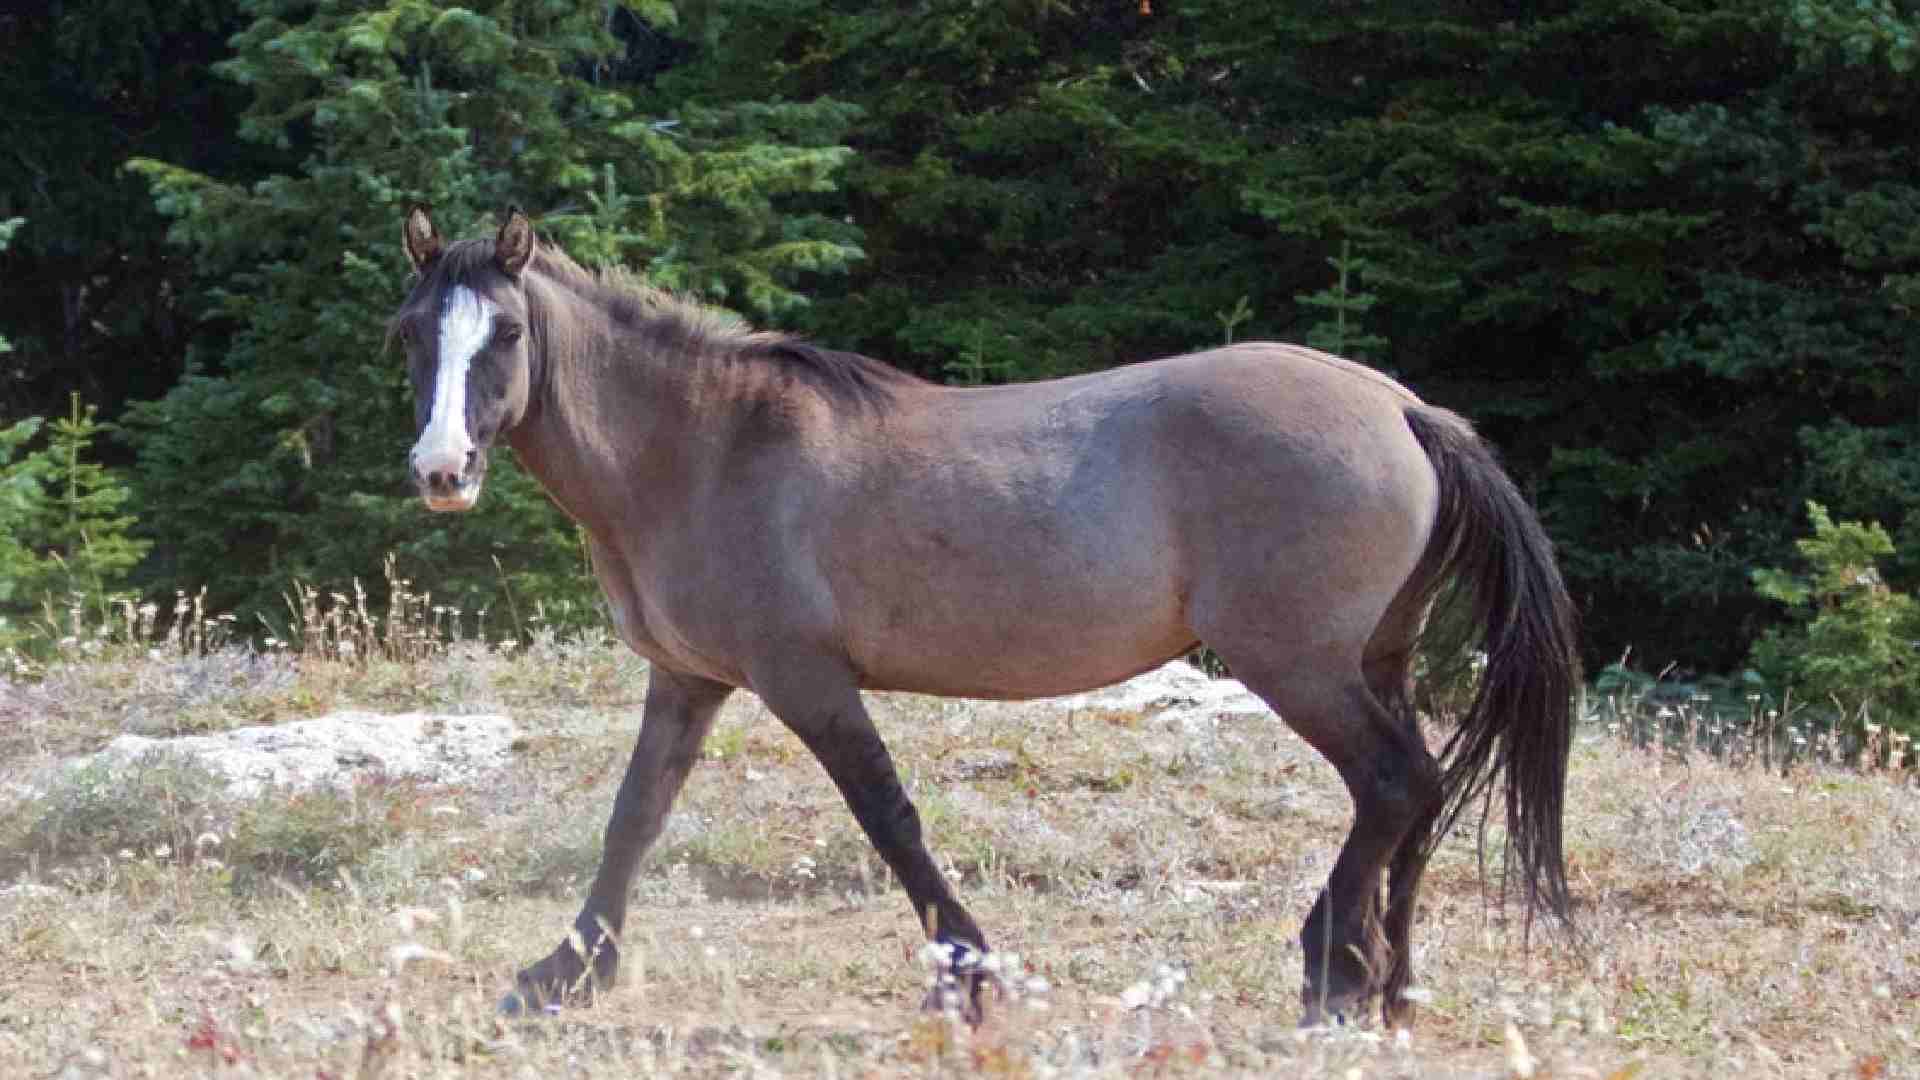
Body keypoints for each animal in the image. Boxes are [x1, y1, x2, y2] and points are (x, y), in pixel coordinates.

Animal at [389, 206, 1578, 1027]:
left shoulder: (803, 678)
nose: (441, 472)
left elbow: (889, 818)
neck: (705, 449)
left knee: (1393, 784)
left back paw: (1332, 969)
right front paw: (566, 972)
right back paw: (1392, 983)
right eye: (412, 336)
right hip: (1373, 660)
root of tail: (1404, 409)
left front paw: (966, 973)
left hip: (1300, 665)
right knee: (1419, 796)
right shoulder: (690, 678)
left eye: (504, 332)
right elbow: (634, 817)